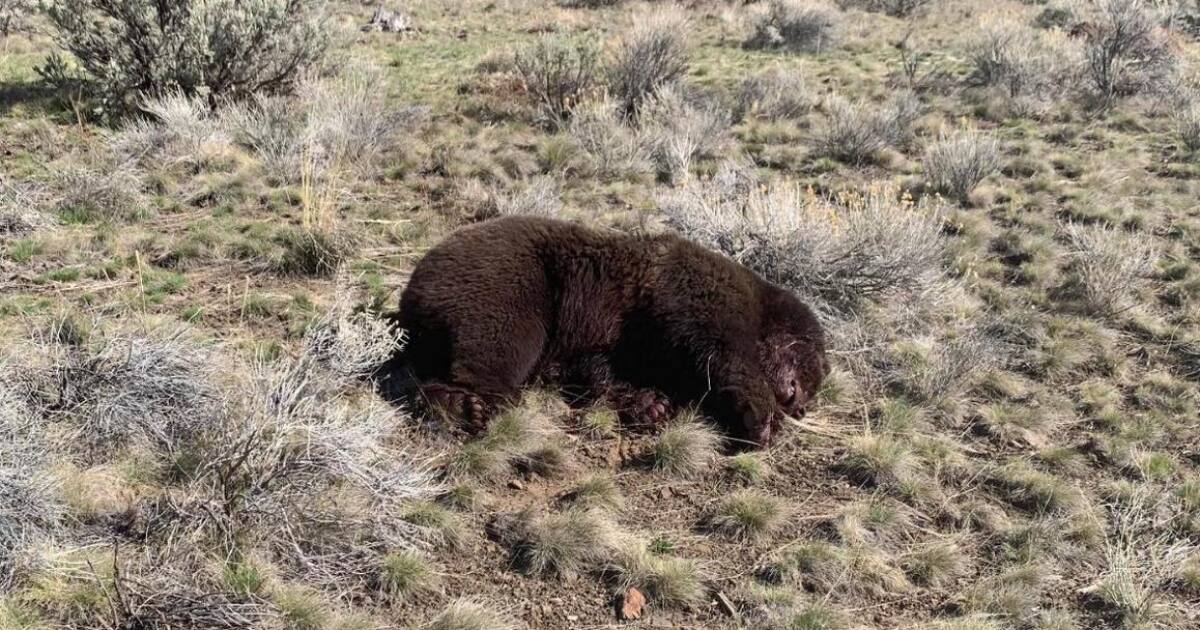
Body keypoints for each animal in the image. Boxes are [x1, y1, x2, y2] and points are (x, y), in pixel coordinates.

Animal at [383, 216, 828, 448]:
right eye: (810, 374)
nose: (800, 405)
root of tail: (411, 287)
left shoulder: (613, 340)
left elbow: (599, 371)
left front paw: (650, 404)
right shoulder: (695, 295)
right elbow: (722, 354)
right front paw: (762, 419)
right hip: (511, 279)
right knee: (498, 341)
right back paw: (466, 404)